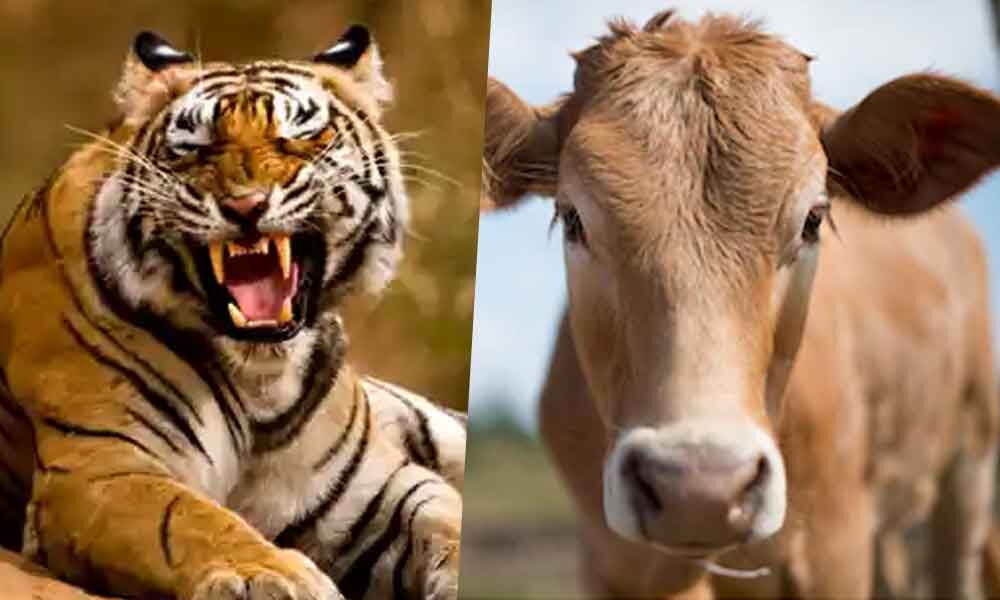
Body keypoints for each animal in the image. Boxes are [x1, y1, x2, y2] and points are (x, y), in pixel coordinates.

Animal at [0, 25, 467, 600]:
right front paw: (271, 575)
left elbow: (446, 517)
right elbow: (186, 518)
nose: (246, 205)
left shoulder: (374, 489)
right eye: (198, 147)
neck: (260, 378)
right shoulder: (102, 468)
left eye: (299, 136)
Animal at [481, 10, 1000, 599]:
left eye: (813, 219)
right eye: (572, 218)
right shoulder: (611, 563)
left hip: (969, 463)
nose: (699, 486)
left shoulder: (837, 546)